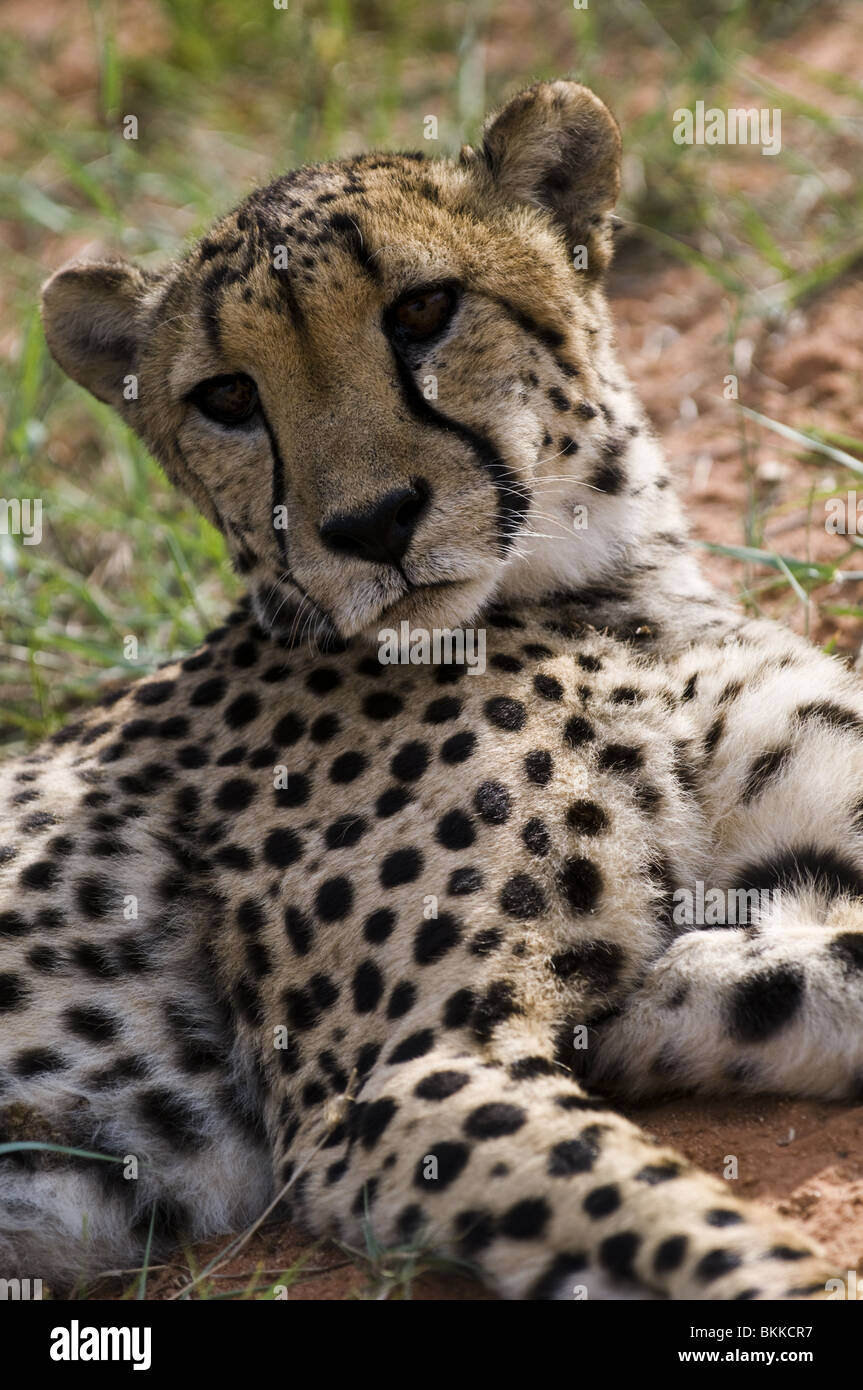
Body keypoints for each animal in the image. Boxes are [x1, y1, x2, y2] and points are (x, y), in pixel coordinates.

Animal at [3, 79, 863, 1301]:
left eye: (422, 311)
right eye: (226, 397)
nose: (371, 524)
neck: (597, 592)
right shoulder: (401, 1081)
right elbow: (691, 1225)